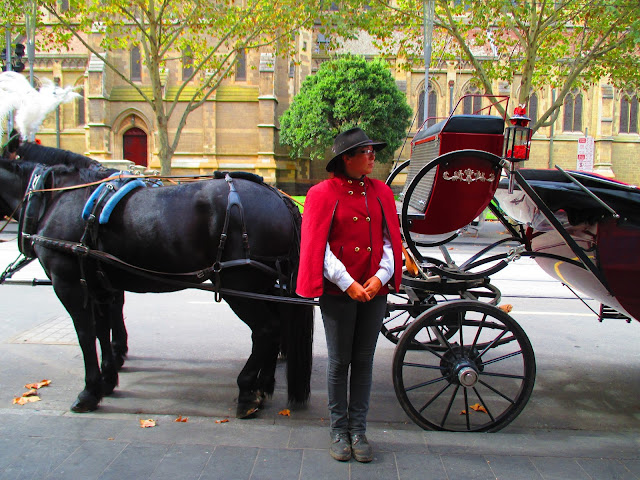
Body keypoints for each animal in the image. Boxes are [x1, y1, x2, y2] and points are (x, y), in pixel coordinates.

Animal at [0, 156, 314, 417]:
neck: (56, 196)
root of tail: (277, 196)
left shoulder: (69, 285)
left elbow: (86, 335)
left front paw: (90, 391)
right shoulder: (99, 285)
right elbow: (102, 330)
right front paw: (108, 378)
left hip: (240, 283)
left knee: (266, 329)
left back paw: (248, 390)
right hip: (260, 284)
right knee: (274, 327)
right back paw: (263, 384)